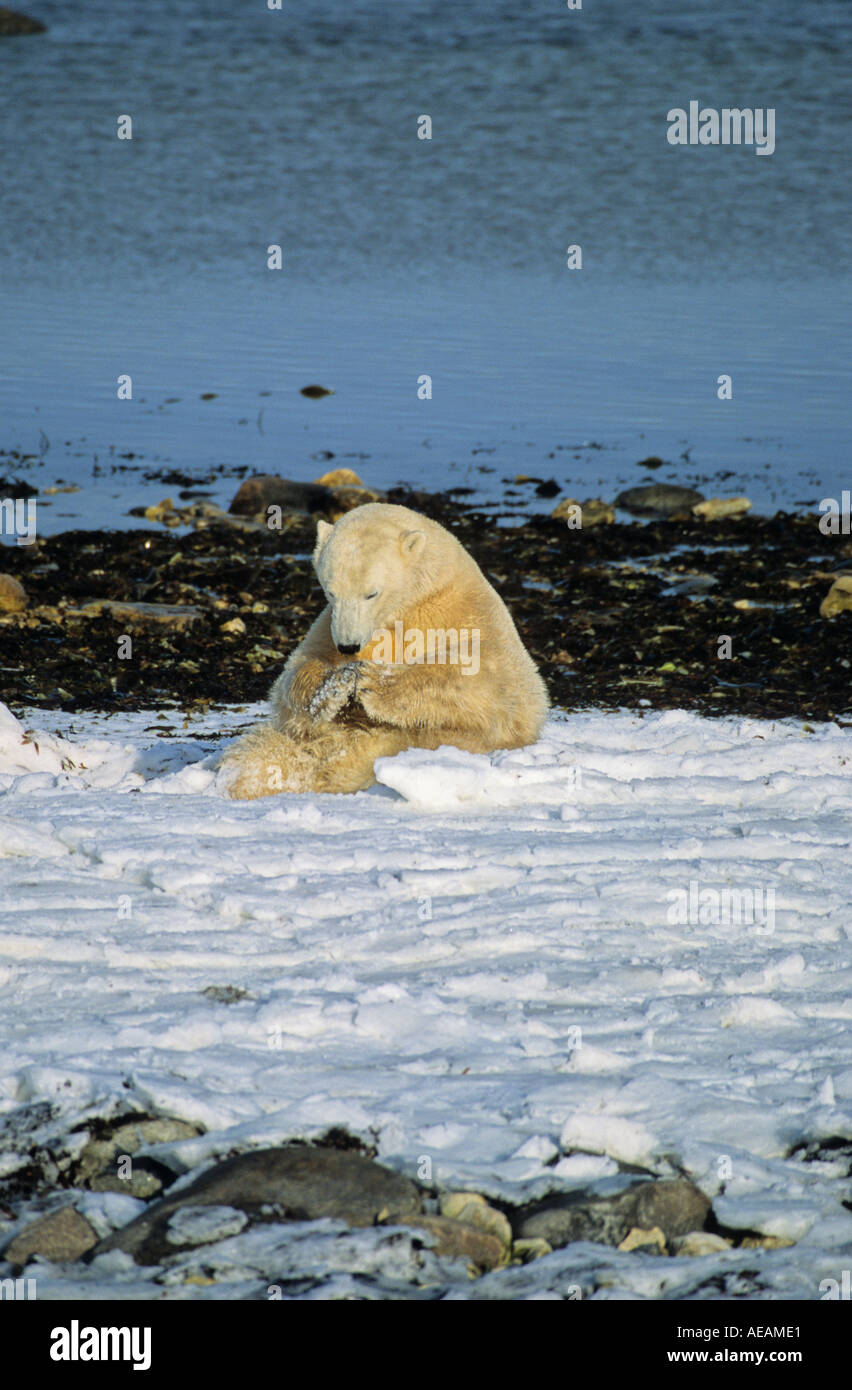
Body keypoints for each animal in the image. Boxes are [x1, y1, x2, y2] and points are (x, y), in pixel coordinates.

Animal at [220, 503, 549, 798]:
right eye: (331, 591)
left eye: (371, 593)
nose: (349, 645)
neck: (412, 604)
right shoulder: (328, 626)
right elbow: (292, 680)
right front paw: (332, 687)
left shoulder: (465, 615)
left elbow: (487, 681)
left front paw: (373, 684)